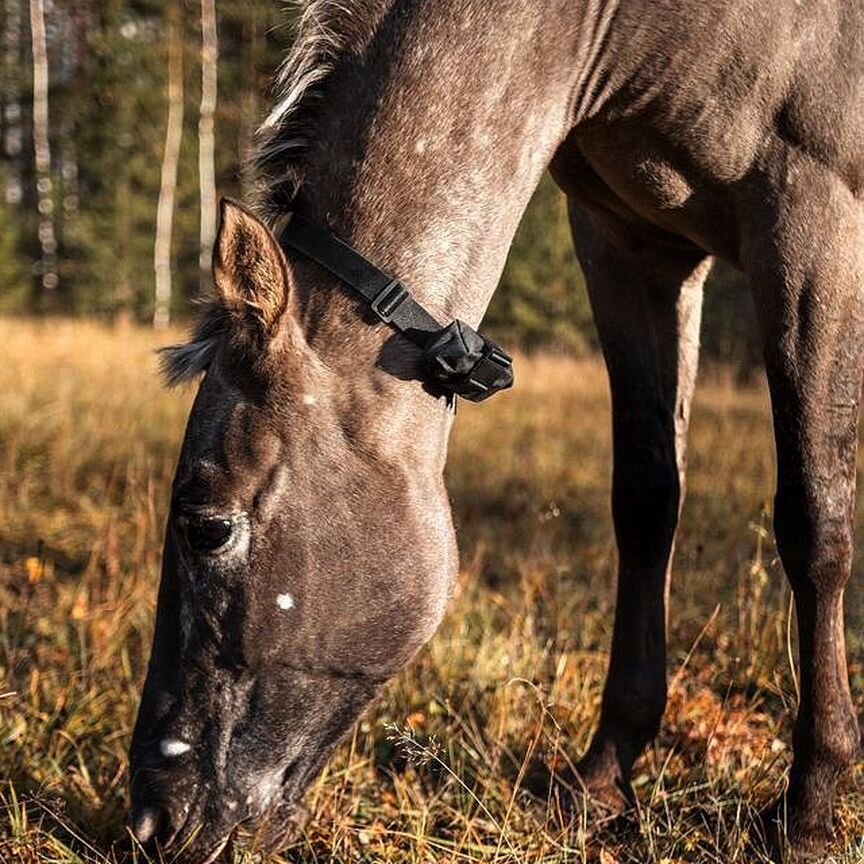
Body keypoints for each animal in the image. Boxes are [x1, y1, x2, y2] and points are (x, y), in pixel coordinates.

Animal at [130, 0, 864, 860]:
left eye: (207, 528)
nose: (151, 818)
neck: (623, 32)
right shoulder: (630, 247)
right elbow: (647, 504)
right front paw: (603, 776)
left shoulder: (816, 224)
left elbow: (815, 523)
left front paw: (810, 806)